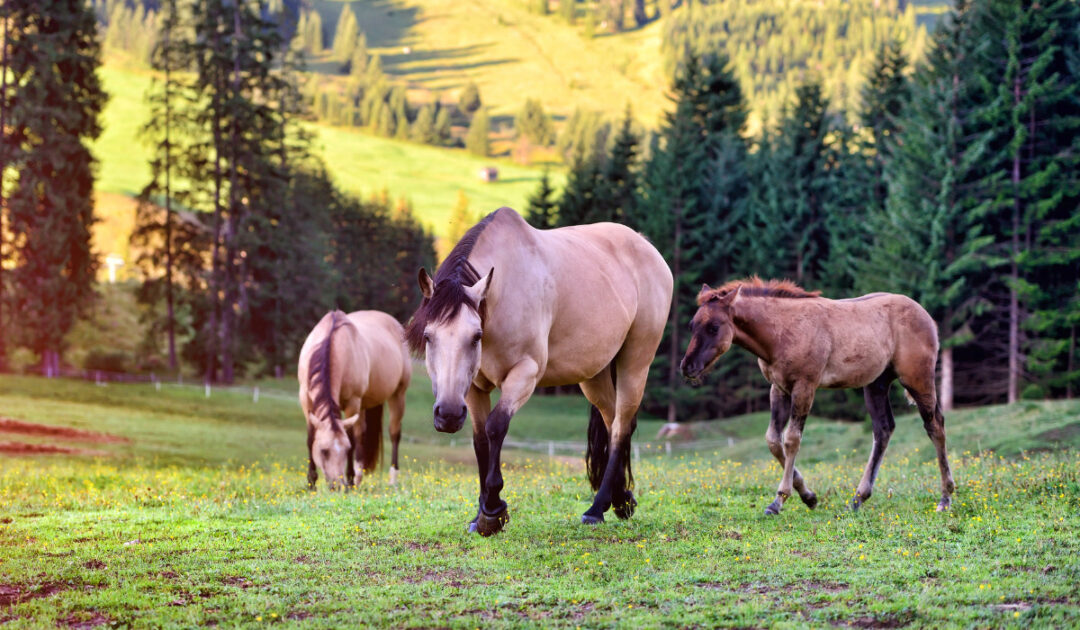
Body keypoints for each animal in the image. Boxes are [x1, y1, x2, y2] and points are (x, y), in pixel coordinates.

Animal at [298, 310, 411, 490]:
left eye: (345, 450)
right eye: (324, 451)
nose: (337, 485)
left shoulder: (352, 402)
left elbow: (352, 439)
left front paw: (349, 481)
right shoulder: (305, 400)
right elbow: (310, 439)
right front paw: (311, 483)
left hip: (398, 395)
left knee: (394, 434)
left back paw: (391, 480)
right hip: (364, 405)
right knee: (361, 434)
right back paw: (358, 478)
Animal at [405, 207, 672, 536]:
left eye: (476, 336)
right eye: (428, 336)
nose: (449, 415)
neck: (504, 292)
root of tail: (645, 245)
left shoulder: (526, 373)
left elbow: (496, 427)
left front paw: (493, 511)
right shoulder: (474, 387)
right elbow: (480, 440)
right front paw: (480, 515)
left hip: (636, 361)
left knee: (622, 426)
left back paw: (596, 509)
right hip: (593, 375)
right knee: (614, 424)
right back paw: (621, 500)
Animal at [679, 277, 955, 515]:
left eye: (714, 327)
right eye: (692, 326)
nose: (687, 367)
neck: (782, 331)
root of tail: (927, 317)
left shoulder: (805, 386)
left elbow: (792, 439)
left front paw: (779, 500)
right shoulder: (778, 388)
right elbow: (773, 440)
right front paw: (808, 496)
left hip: (917, 378)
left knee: (935, 426)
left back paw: (945, 498)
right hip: (876, 384)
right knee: (883, 429)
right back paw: (857, 499)